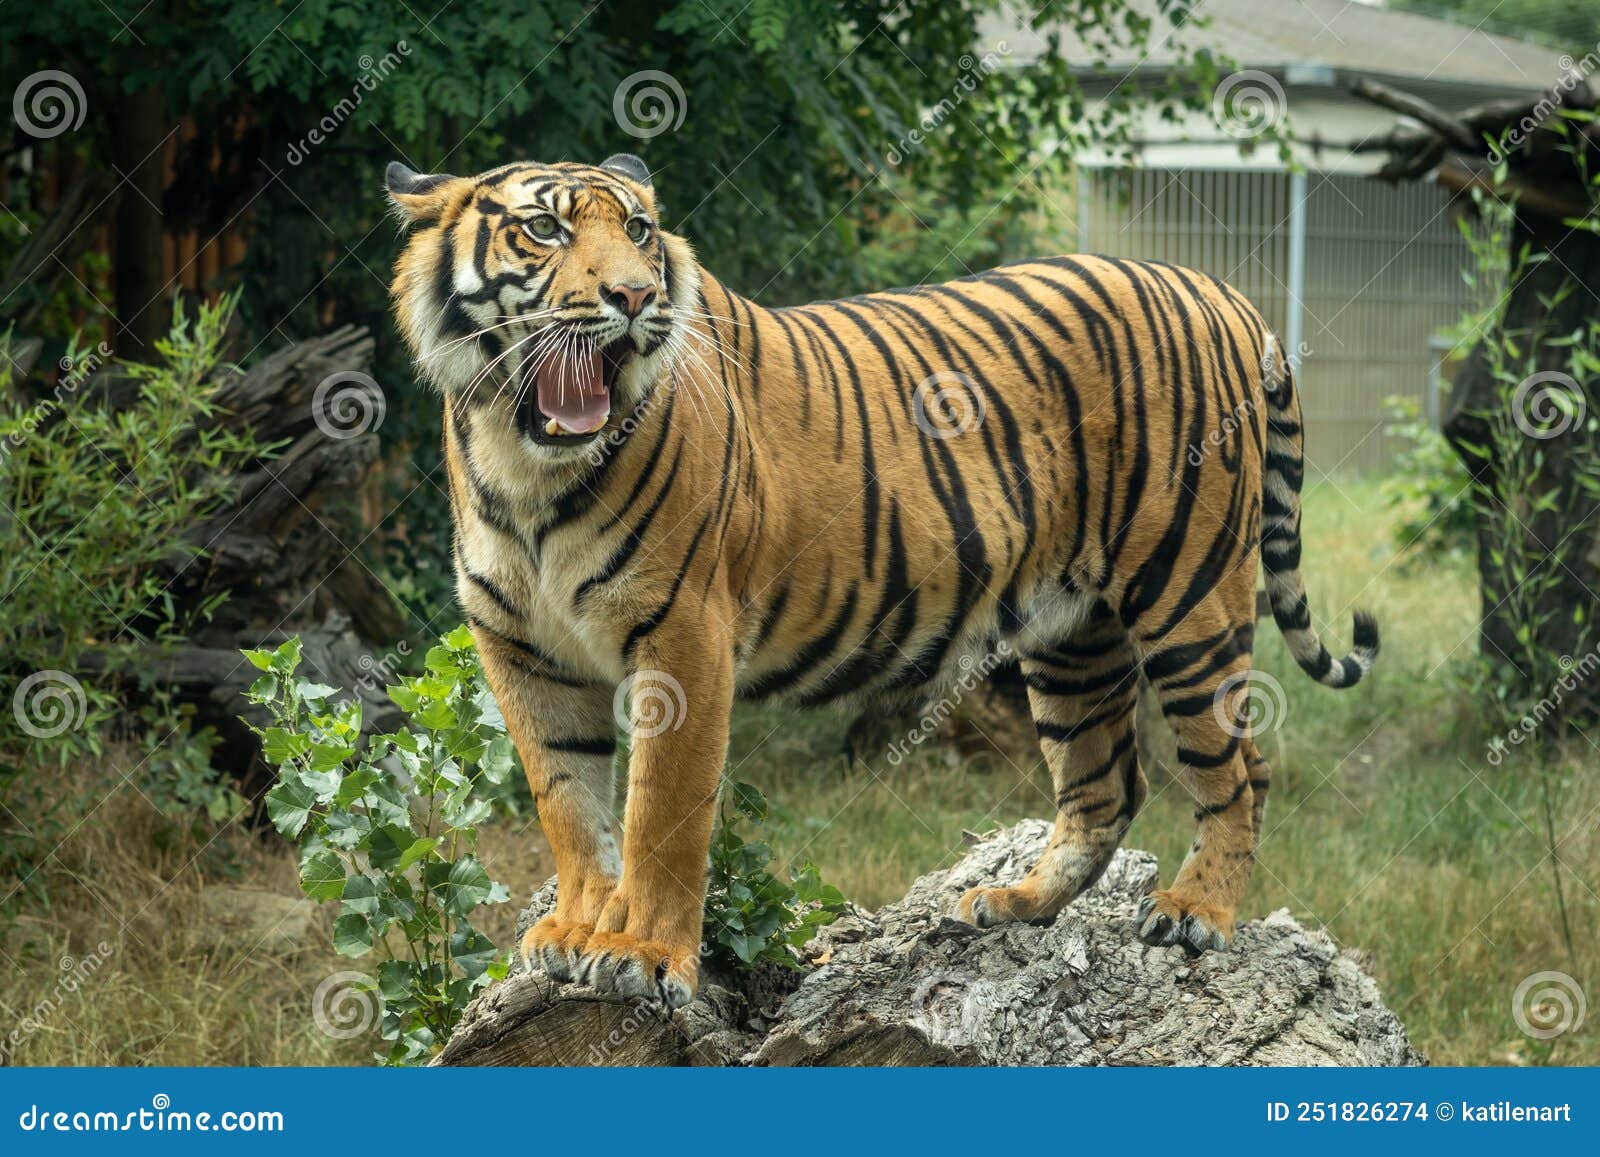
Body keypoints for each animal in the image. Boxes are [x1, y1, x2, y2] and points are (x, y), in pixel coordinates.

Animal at [385, 152, 1378, 1009]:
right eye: (544, 230)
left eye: (638, 230)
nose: (634, 295)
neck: (523, 463)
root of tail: (1221, 291)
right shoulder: (523, 649)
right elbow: (566, 800)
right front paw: (577, 927)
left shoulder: (683, 635)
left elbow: (660, 814)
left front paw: (640, 953)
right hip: (1074, 634)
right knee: (1106, 785)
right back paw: (1015, 904)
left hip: (1188, 592)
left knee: (1239, 765)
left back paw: (1196, 912)